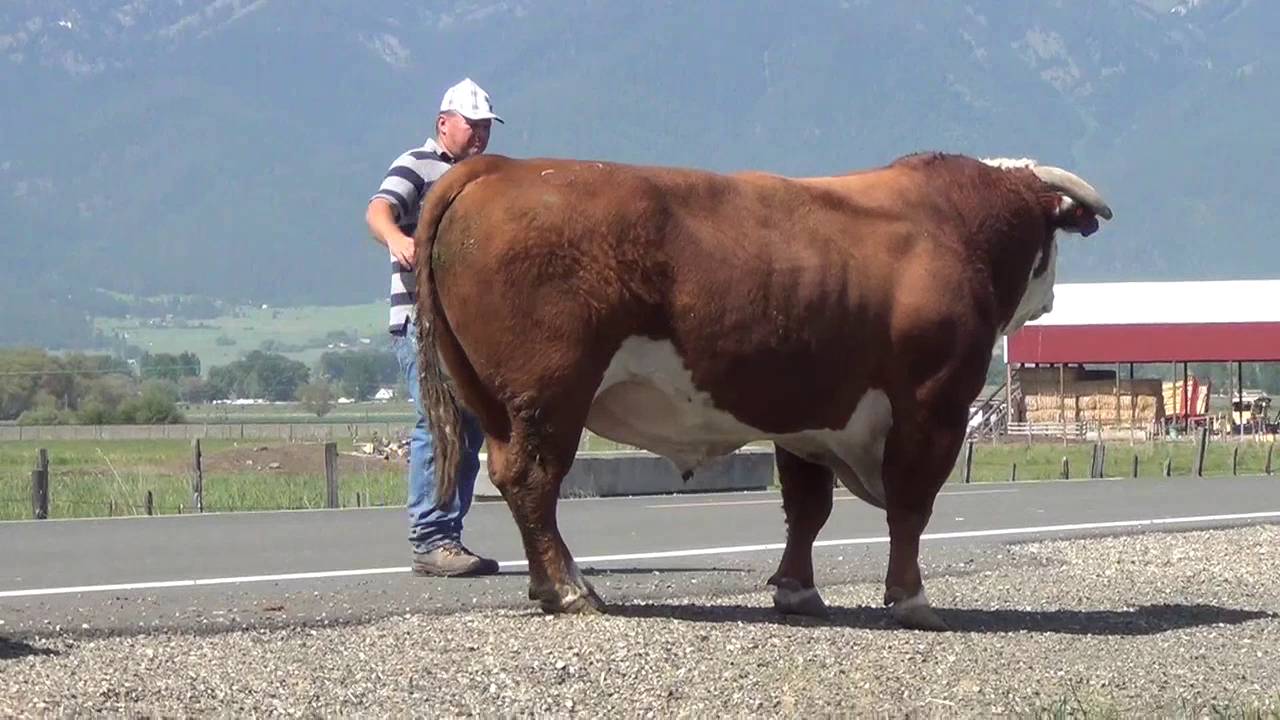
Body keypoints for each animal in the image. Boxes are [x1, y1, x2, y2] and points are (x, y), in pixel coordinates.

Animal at [409, 151, 1112, 630]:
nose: (1051, 300)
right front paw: (911, 600)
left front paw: (798, 591)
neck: (954, 227)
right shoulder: (933, 406)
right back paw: (570, 588)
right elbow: (911, 508)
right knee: (534, 481)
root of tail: (504, 166)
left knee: (512, 478)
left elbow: (807, 508)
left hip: (495, 403)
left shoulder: (807, 416)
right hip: (551, 396)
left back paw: (544, 586)